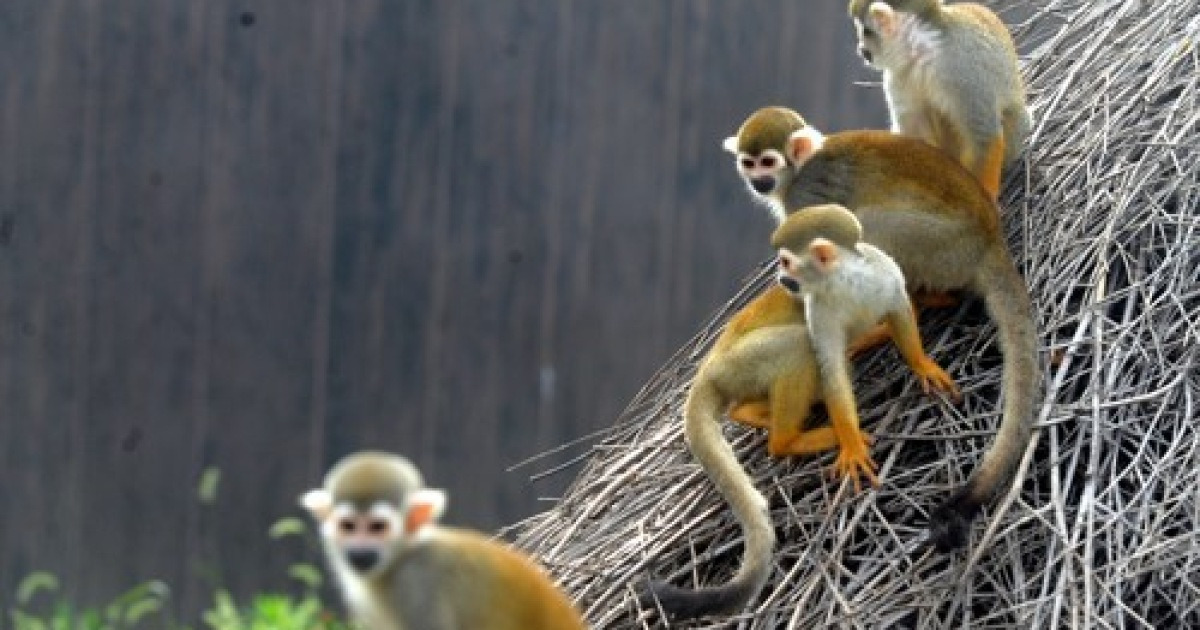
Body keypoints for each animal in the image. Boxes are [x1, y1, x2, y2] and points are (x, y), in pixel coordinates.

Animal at [638, 207, 960, 621]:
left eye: (788, 262)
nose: (781, 278)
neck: (845, 284)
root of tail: (706, 369)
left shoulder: (884, 273)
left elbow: (900, 309)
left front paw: (921, 363)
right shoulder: (818, 311)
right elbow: (829, 369)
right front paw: (851, 447)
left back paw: (756, 410)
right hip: (737, 365)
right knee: (799, 346)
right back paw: (786, 438)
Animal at [723, 106, 1039, 553]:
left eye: (768, 162)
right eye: (748, 164)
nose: (758, 181)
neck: (798, 170)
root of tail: (991, 237)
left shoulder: (806, 197)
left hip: (942, 246)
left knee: (866, 225)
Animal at [846, 0, 1032, 200]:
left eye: (866, 31)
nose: (861, 50)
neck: (923, 52)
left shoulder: (960, 69)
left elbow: (983, 137)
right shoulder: (898, 73)